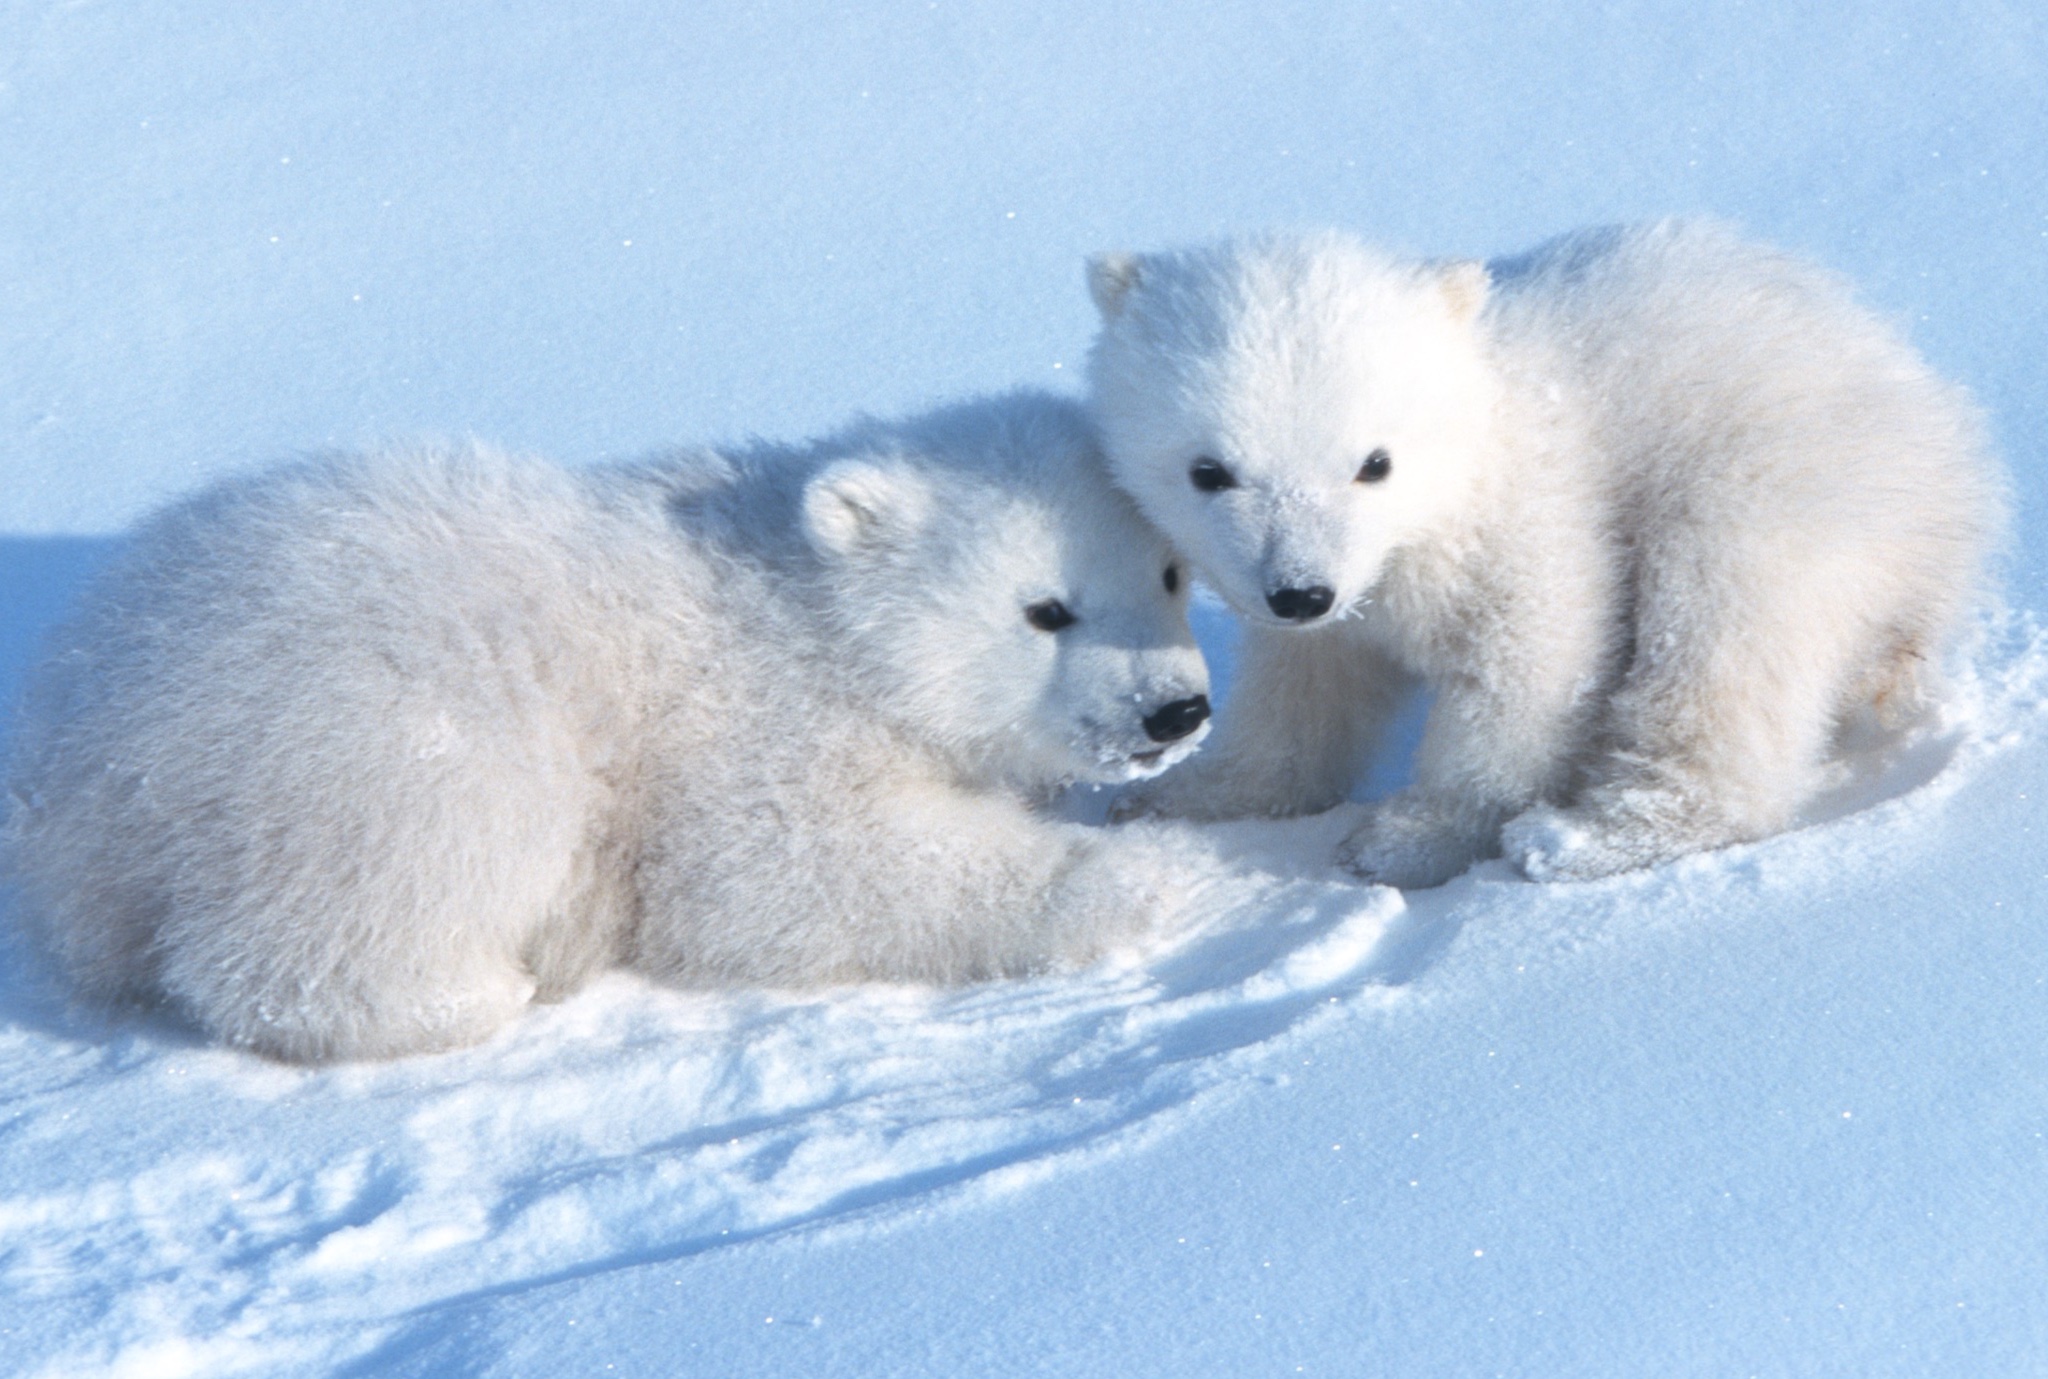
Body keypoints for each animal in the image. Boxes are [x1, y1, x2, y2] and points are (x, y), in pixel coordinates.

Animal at [1, 392, 1215, 1061]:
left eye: (1166, 568)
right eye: (1045, 607)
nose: (1176, 707)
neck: (801, 597)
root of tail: (74, 734)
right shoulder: (756, 728)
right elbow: (779, 871)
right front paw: (1144, 875)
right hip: (373, 733)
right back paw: (472, 989)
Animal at [1084, 219, 2006, 886]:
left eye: (1374, 462)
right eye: (1209, 470)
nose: (1301, 590)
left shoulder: (1533, 515)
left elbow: (1528, 669)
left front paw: (1407, 840)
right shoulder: (1332, 600)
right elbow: (1305, 698)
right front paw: (1177, 795)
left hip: (1791, 480)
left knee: (1725, 631)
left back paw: (1581, 835)